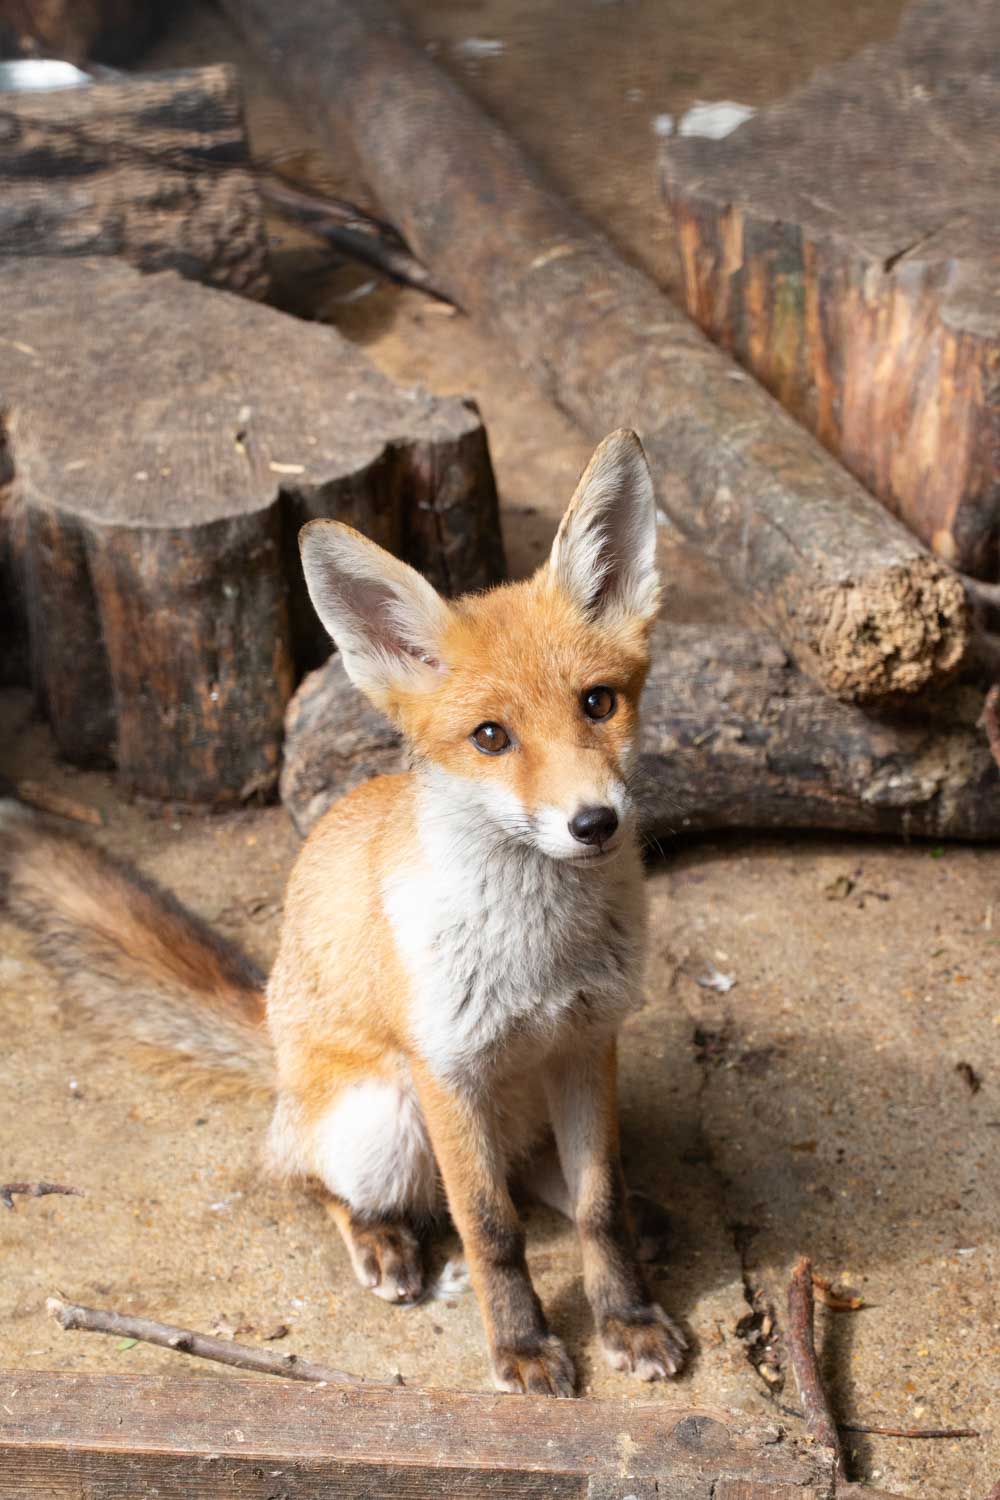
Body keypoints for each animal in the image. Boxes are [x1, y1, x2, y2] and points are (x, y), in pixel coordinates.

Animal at [2, 428, 687, 1396]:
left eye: (599, 702)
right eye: (490, 738)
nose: (593, 823)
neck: (542, 958)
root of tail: (274, 1037)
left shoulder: (587, 1043)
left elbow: (599, 1205)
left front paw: (625, 1318)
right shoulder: (446, 1072)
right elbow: (490, 1230)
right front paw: (521, 1345)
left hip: (511, 1105)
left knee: (545, 1176)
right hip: (385, 1117)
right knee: (313, 1180)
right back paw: (380, 1239)